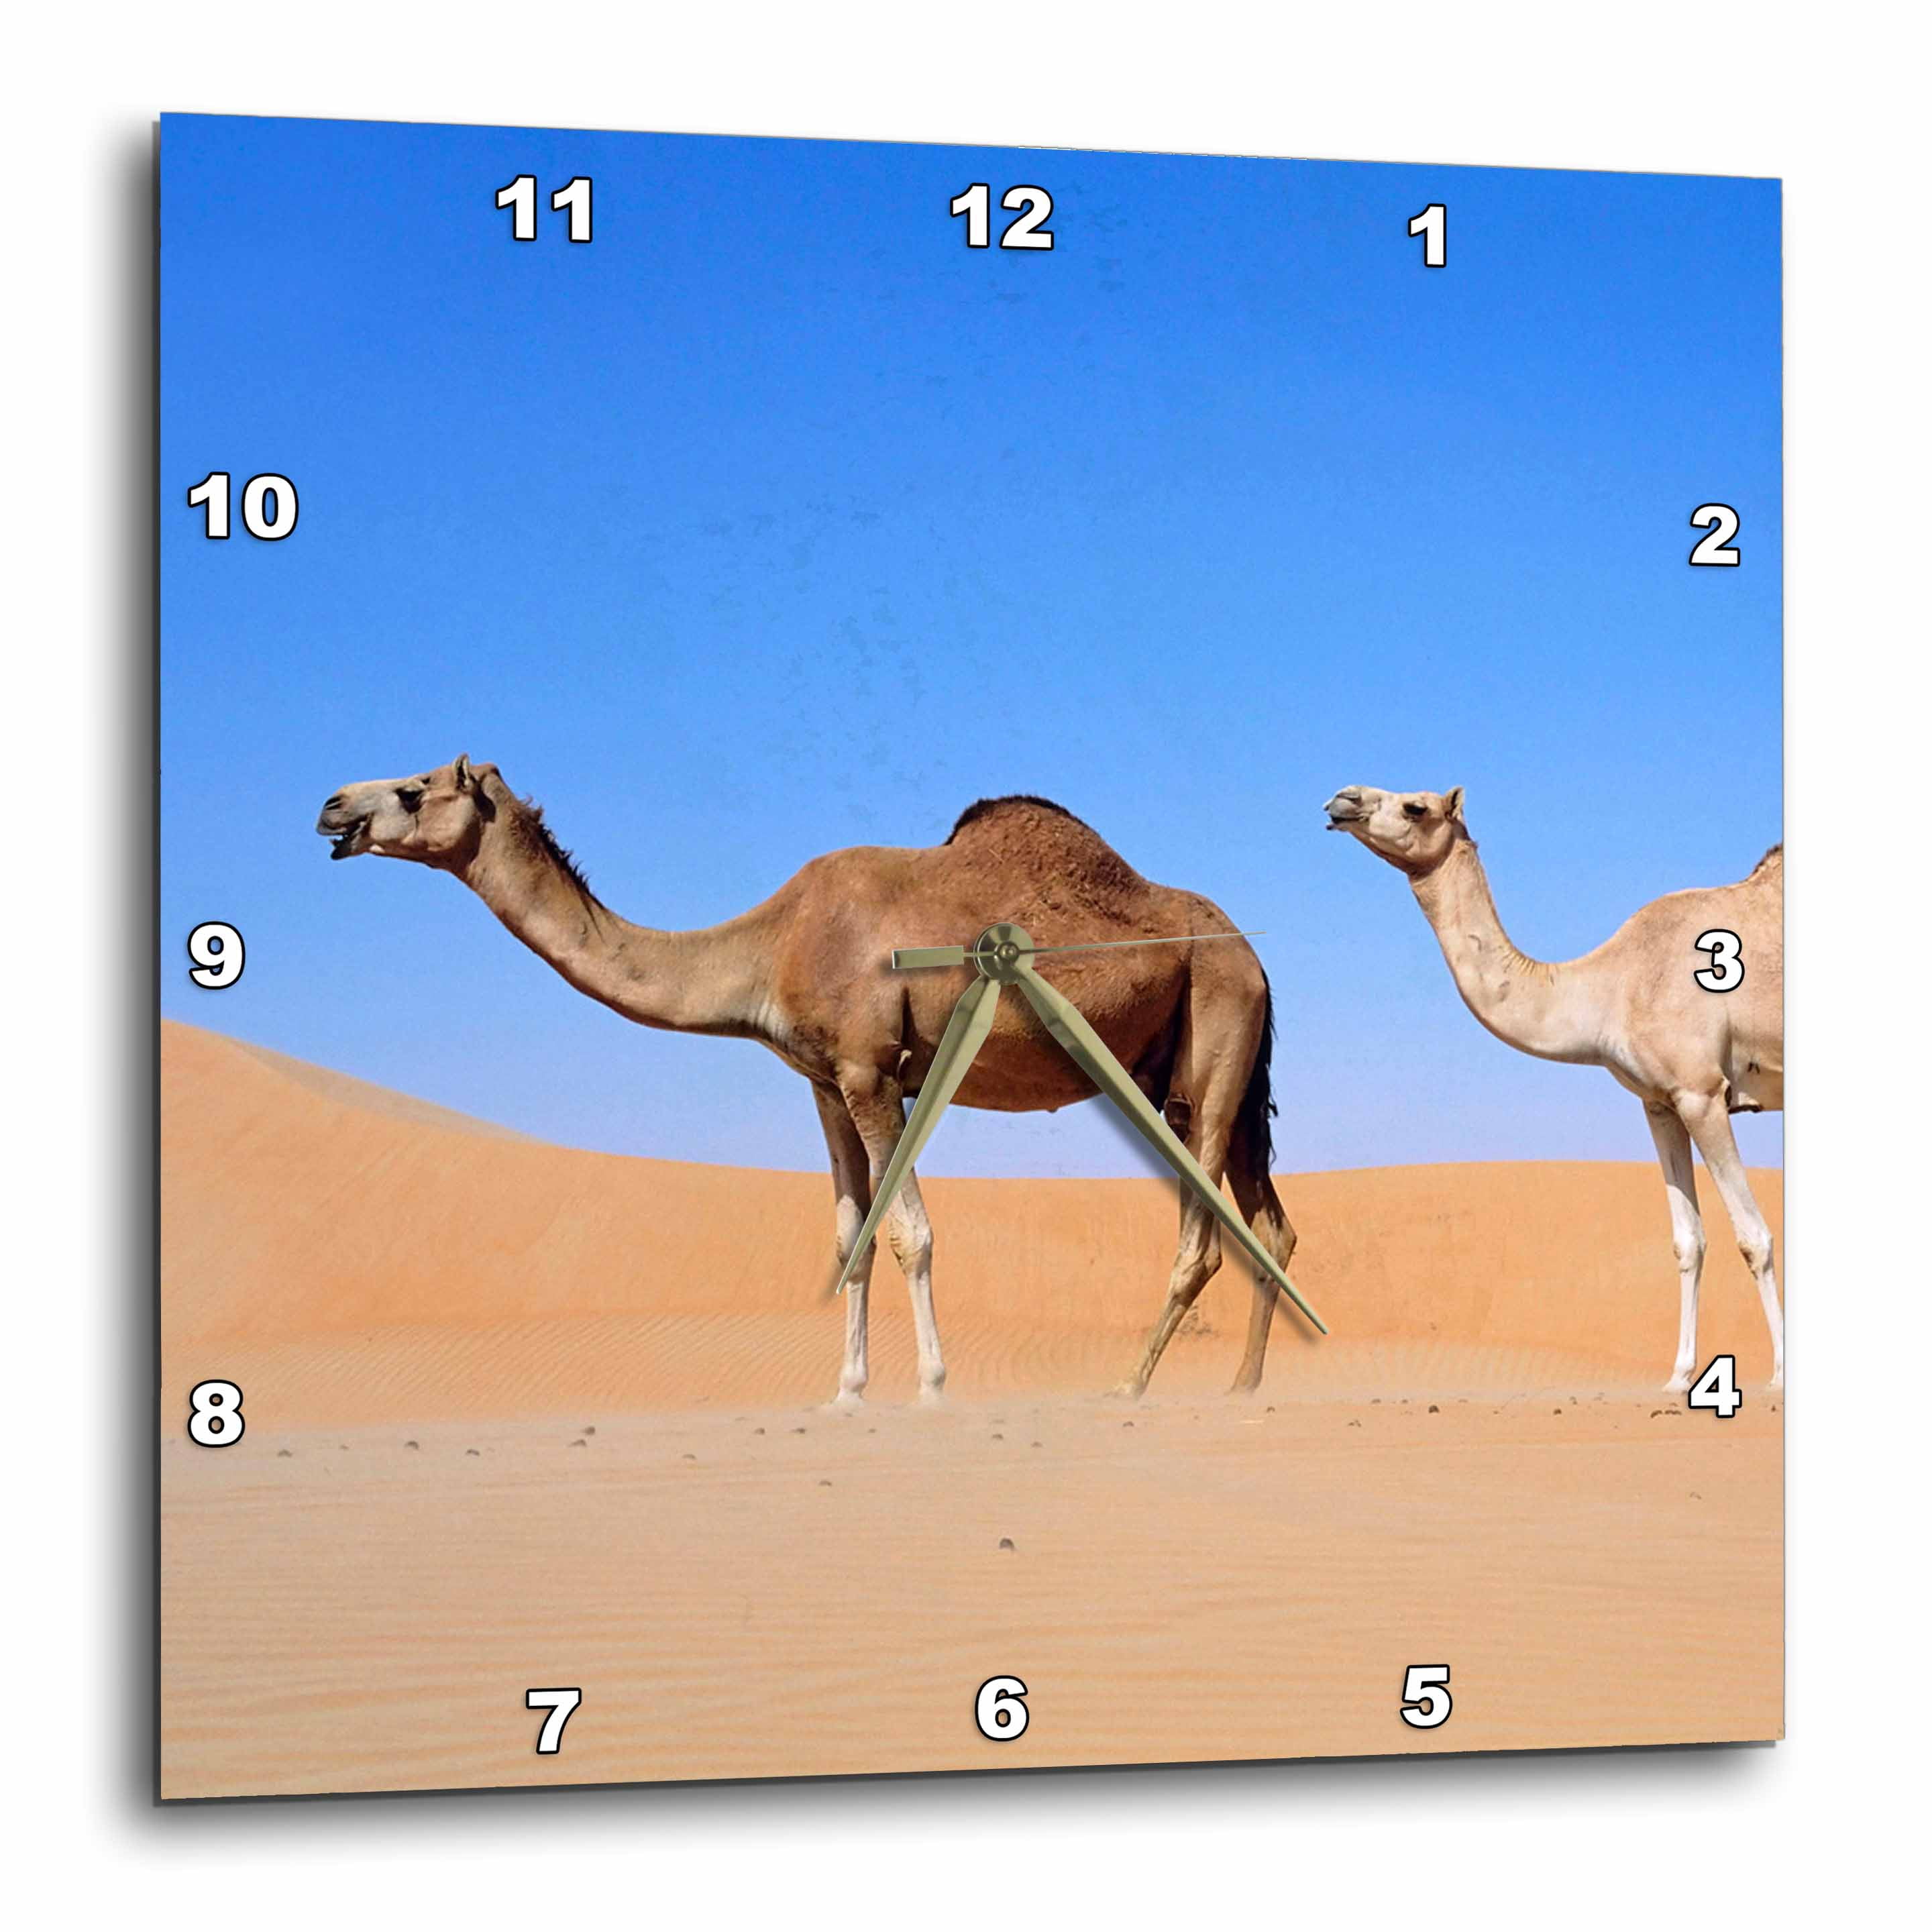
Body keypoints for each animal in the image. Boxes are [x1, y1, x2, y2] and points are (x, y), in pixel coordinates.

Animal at [315, 757, 1308, 1404]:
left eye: (417, 787)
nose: (331, 806)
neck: (773, 944)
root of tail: (1253, 952)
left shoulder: (874, 1074)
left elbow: (909, 1233)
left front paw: (933, 1387)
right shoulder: (824, 1083)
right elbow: (849, 1238)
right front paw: (848, 1391)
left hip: (1215, 1033)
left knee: (1204, 1238)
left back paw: (1132, 1386)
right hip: (1199, 1067)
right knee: (1270, 1225)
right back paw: (1245, 1386)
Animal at [1323, 785, 1783, 1392]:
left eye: (1415, 807)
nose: (1342, 799)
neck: (1612, 987)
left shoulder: (1703, 1091)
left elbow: (1754, 1237)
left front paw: (1781, 1375)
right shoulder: (1660, 1101)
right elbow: (1689, 1242)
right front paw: (1679, 1377)